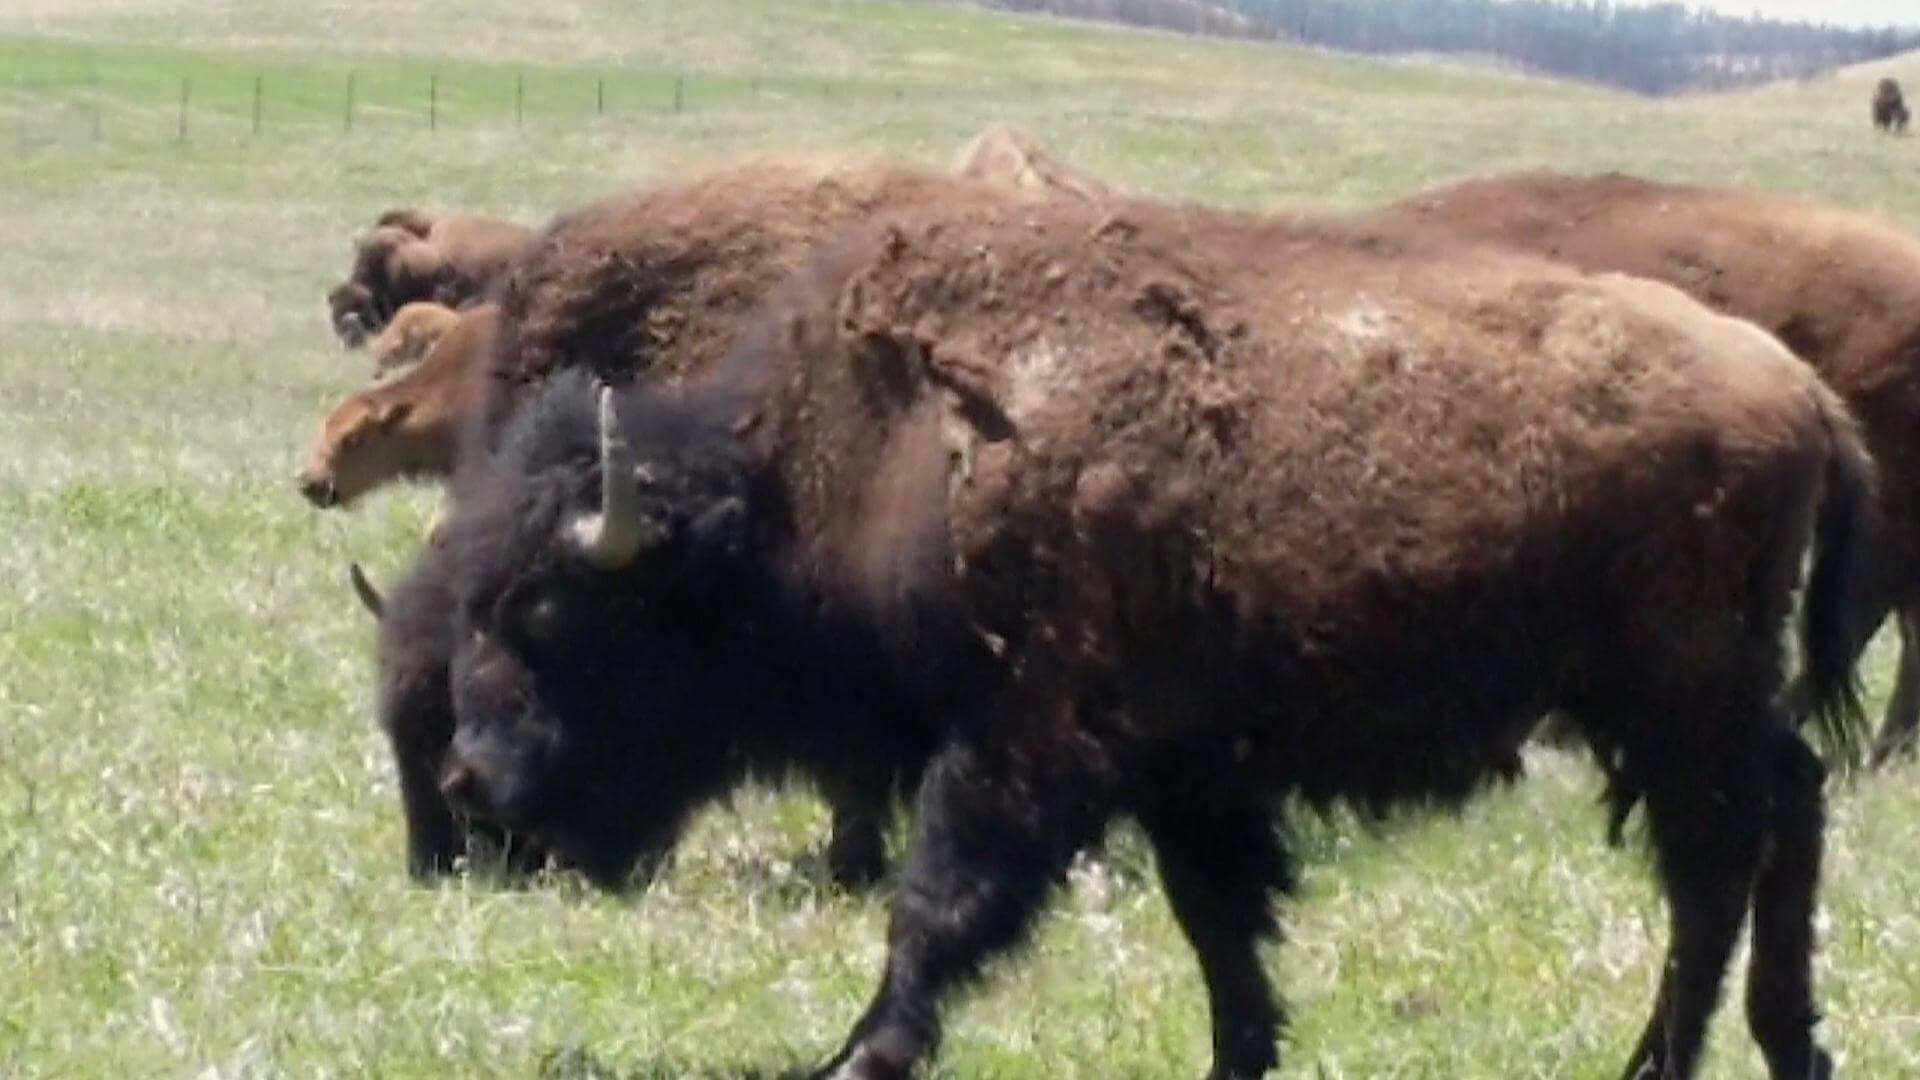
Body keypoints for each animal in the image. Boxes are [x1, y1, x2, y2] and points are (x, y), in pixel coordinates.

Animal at [437, 192, 1867, 1079]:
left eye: (552, 609)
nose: (470, 779)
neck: (870, 456)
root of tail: (1801, 389)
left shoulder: (1024, 747)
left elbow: (940, 907)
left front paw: (862, 1053)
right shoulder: (1186, 772)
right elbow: (1220, 925)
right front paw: (1244, 1051)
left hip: (1674, 703)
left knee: (1715, 862)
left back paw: (1663, 1061)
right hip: (1698, 705)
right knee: (1788, 811)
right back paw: (1791, 1044)